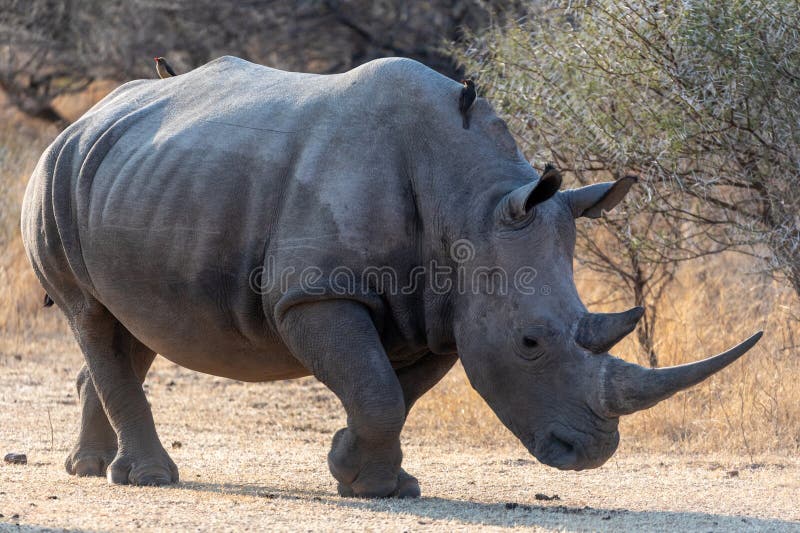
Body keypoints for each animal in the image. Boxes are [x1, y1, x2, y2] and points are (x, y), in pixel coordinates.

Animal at [21, 56, 762, 498]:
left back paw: (90, 469)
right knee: (92, 315)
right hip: (55, 176)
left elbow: (394, 396)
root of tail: (86, 117)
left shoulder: (441, 310)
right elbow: (376, 389)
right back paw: (148, 480)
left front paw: (367, 476)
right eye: (530, 342)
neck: (471, 204)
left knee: (131, 327)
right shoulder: (315, 293)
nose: (591, 453)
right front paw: (372, 485)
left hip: (137, 179)